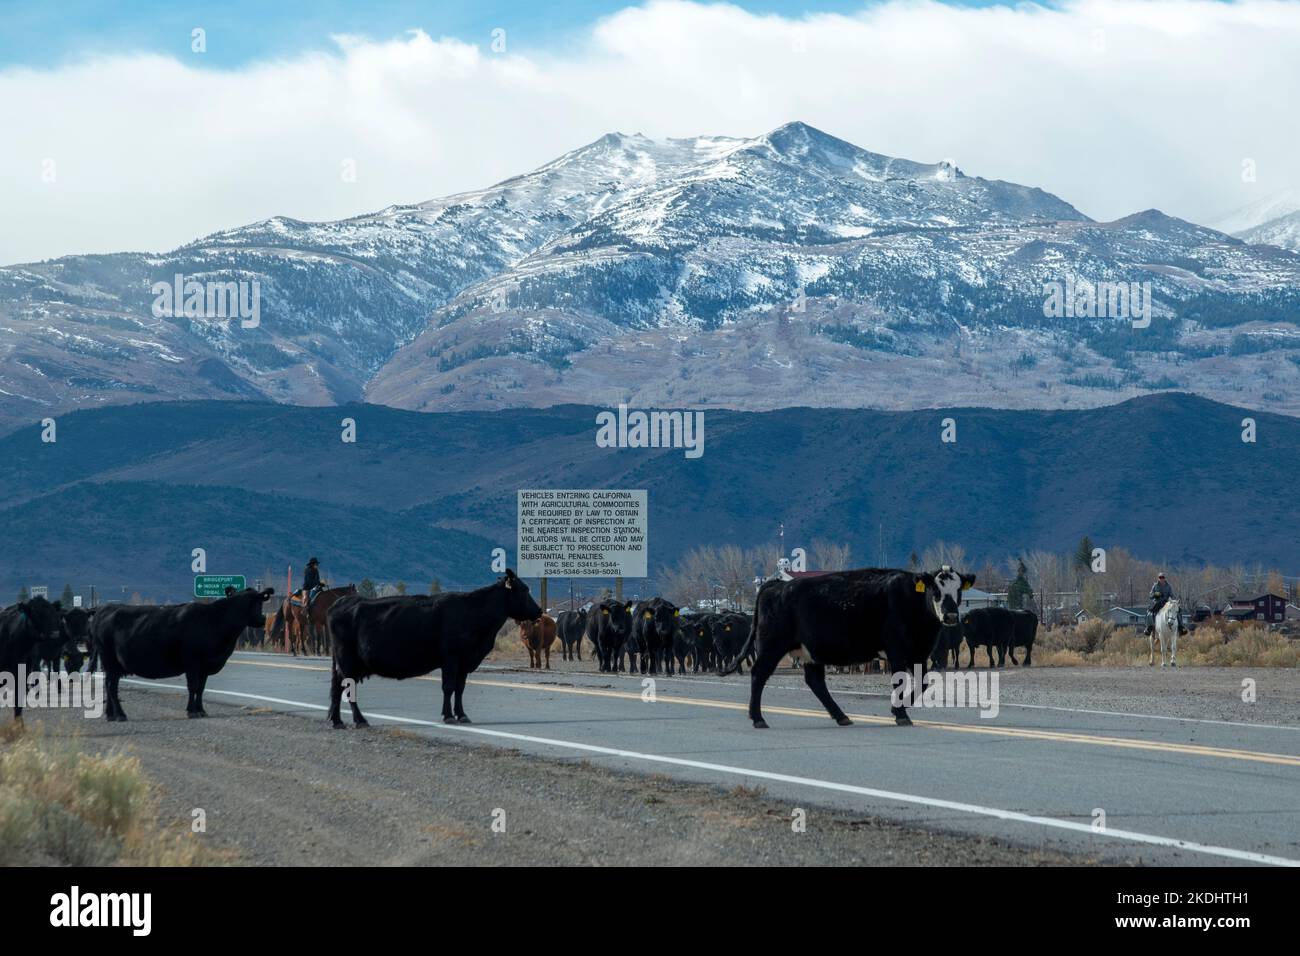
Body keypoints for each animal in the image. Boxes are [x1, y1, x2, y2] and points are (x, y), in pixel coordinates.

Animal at [90, 587, 275, 721]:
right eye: (253, 602)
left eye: (259, 601)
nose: (262, 620)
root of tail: (104, 609)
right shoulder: (192, 663)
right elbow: (192, 687)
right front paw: (192, 711)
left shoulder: (204, 667)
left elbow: (201, 688)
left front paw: (201, 710)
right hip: (110, 660)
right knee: (112, 686)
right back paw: (120, 715)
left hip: (110, 665)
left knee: (108, 684)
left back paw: (110, 714)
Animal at [326, 569, 541, 728]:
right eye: (524, 589)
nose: (539, 611)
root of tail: (342, 602)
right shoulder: (451, 657)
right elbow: (448, 687)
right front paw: (448, 716)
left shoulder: (464, 661)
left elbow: (460, 688)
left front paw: (462, 715)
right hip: (348, 661)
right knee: (347, 687)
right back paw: (360, 720)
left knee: (337, 686)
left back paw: (337, 721)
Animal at [723, 566, 974, 729]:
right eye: (936, 590)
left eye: (959, 590)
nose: (951, 616)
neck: (911, 600)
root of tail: (778, 585)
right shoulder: (896, 651)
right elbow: (899, 682)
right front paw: (901, 714)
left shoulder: (919, 654)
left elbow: (923, 682)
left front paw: (897, 709)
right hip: (771, 646)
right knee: (759, 674)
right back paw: (758, 718)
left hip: (810, 653)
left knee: (815, 682)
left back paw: (841, 716)